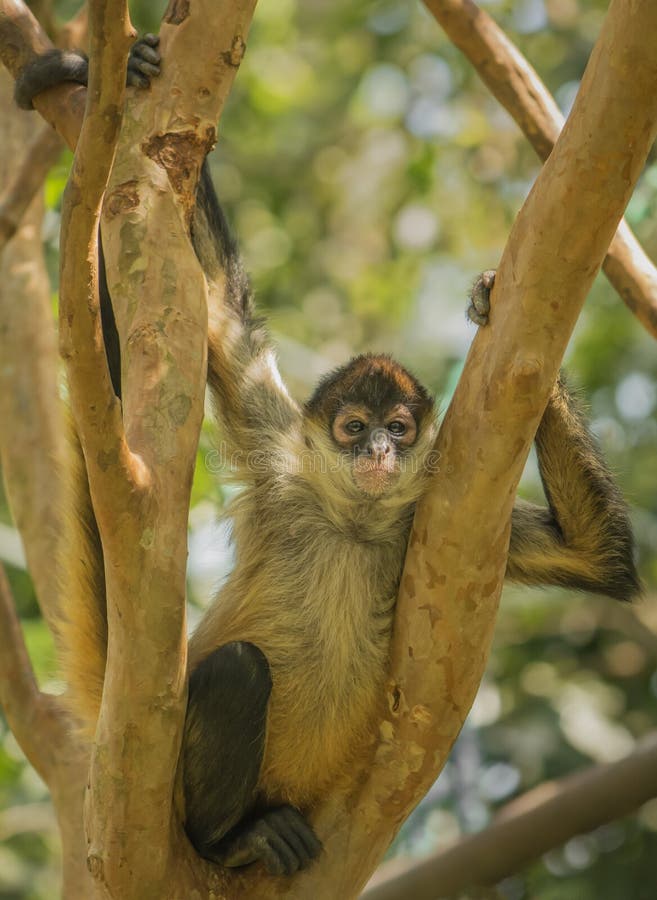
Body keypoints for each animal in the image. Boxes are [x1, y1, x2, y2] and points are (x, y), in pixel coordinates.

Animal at [15, 43, 641, 877]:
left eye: (400, 430)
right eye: (351, 428)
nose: (377, 448)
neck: (354, 519)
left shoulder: (434, 512)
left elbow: (596, 557)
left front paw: (490, 302)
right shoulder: (279, 458)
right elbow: (222, 315)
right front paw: (112, 61)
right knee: (239, 670)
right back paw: (228, 839)